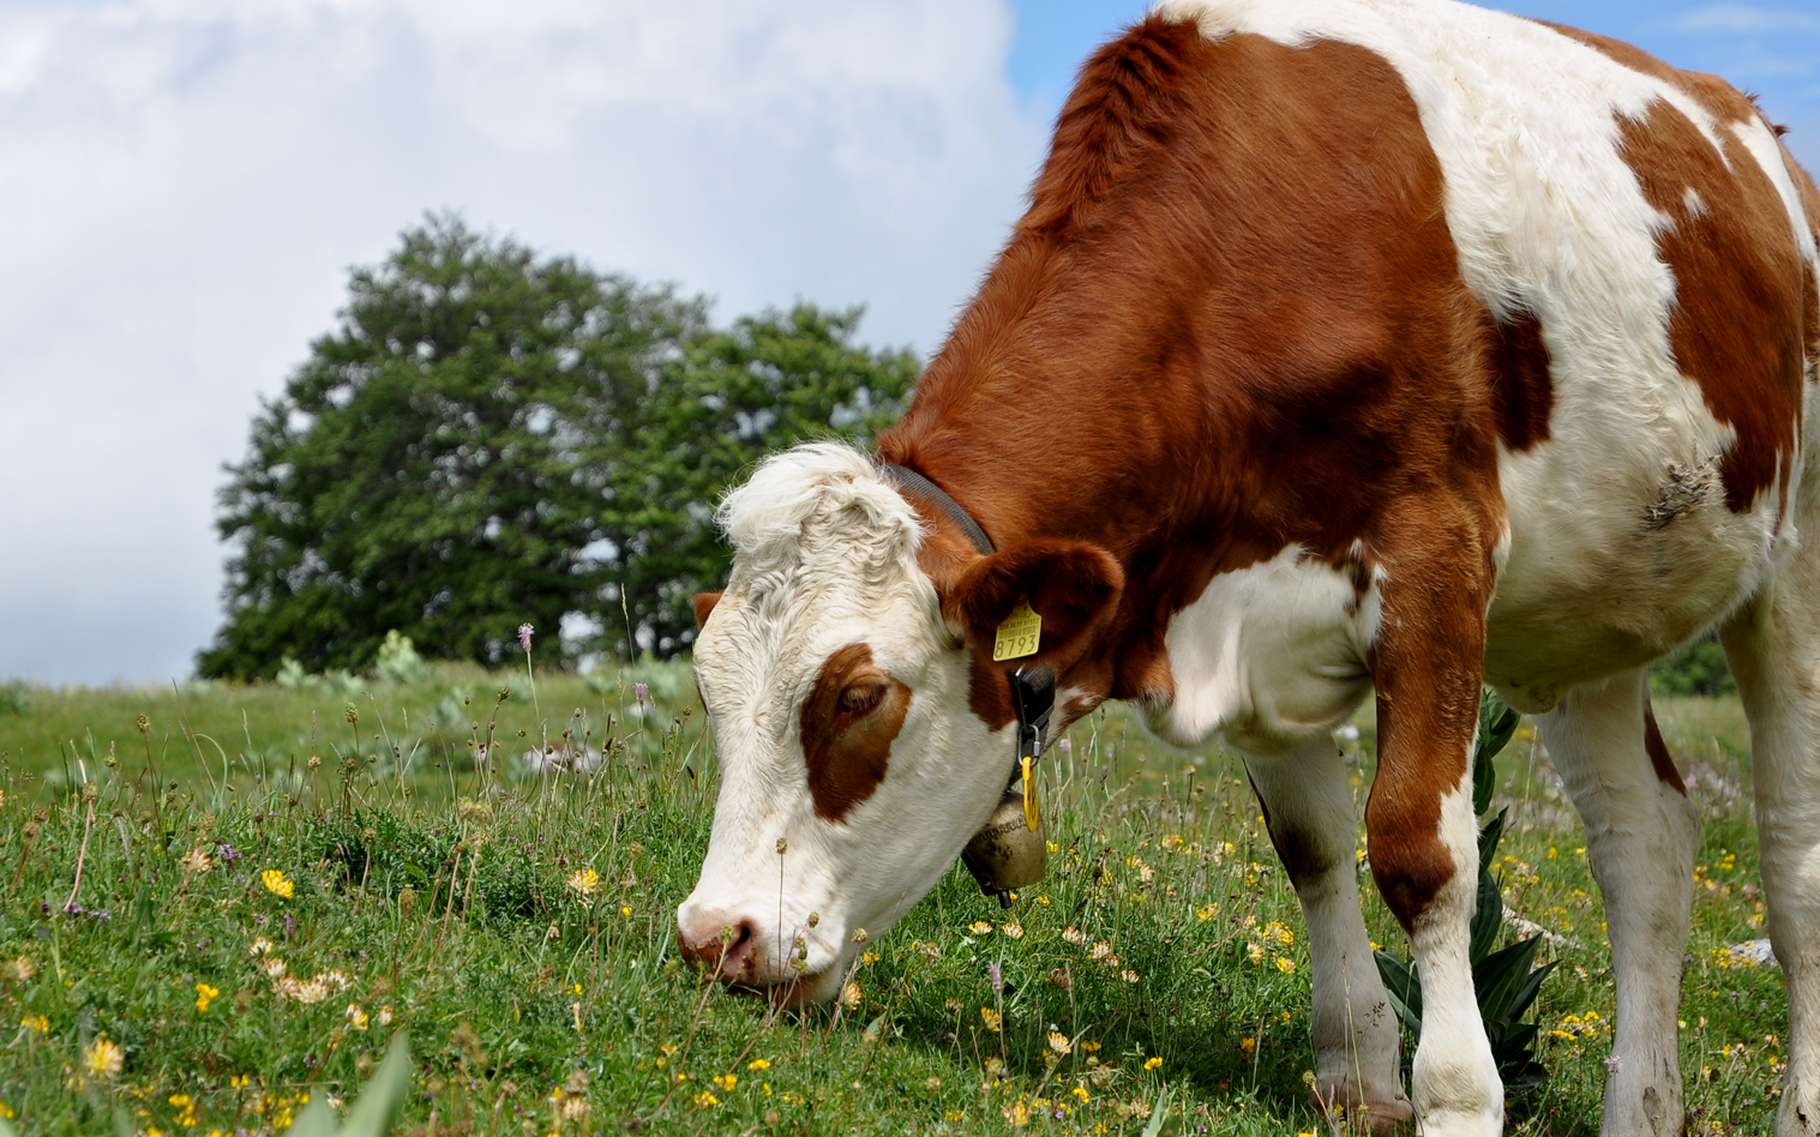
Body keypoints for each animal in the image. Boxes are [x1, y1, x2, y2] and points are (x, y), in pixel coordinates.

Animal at [675, 1, 1820, 1134]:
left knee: (1793, 860)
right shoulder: (1243, 617)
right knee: (1645, 842)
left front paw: (1454, 1095)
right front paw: (1358, 1076)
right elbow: (1310, 843)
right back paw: (1643, 1102)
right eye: (709, 692)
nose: (713, 936)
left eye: (859, 695)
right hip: (1586, 618)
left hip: (1796, 564)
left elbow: (1419, 852)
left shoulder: (1435, 558)